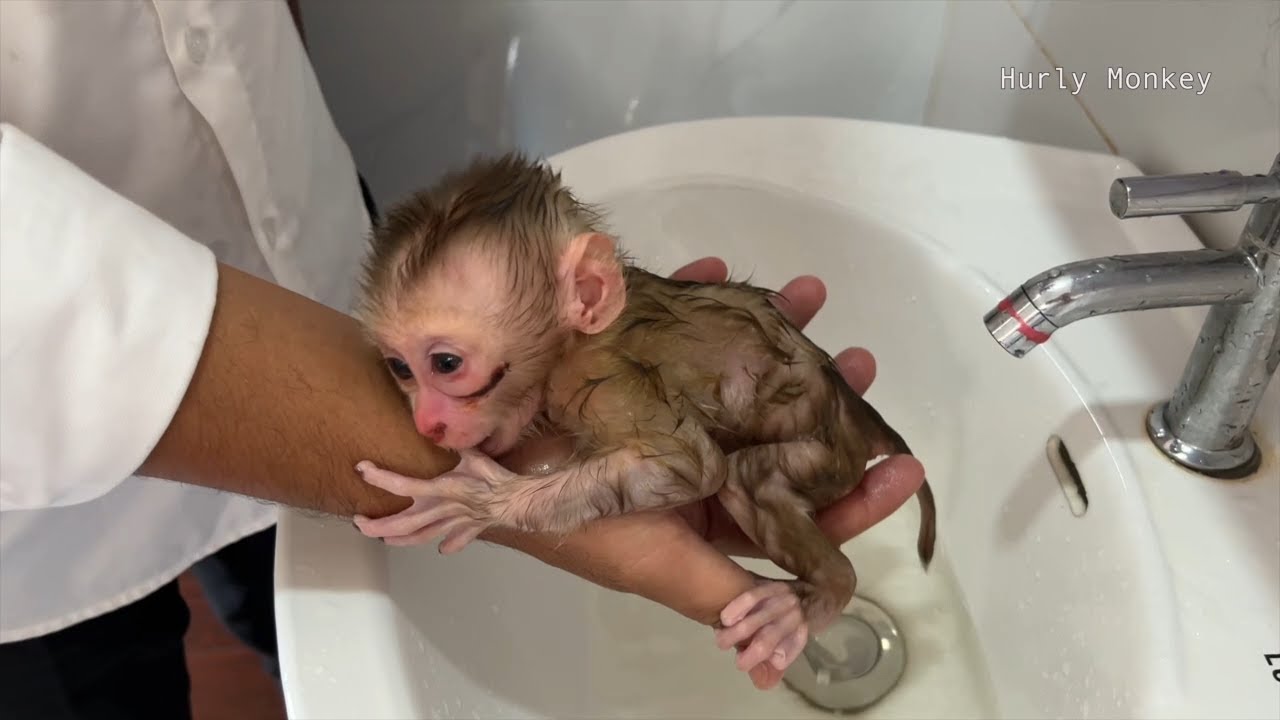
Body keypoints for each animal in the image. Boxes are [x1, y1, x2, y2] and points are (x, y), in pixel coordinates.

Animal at [349, 151, 937, 680]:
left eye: (446, 364)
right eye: (400, 368)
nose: (428, 422)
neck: (571, 344)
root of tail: (857, 409)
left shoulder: (597, 380)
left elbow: (692, 467)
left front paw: (481, 501)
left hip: (828, 454)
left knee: (746, 478)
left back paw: (821, 592)